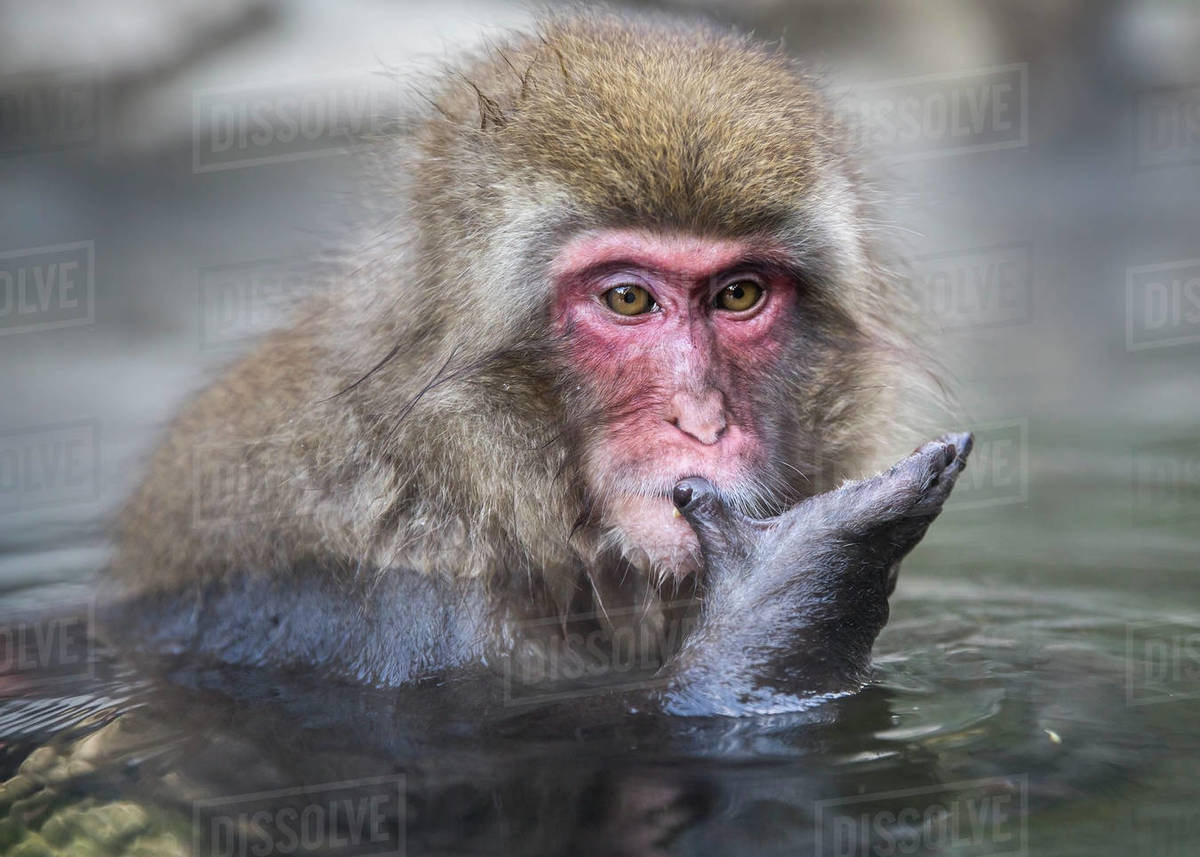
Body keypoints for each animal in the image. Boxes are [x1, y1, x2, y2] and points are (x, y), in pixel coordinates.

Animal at [99, 12, 970, 716]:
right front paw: (814, 569)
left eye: (740, 294)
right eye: (627, 299)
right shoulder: (393, 604)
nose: (701, 418)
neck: (468, 476)